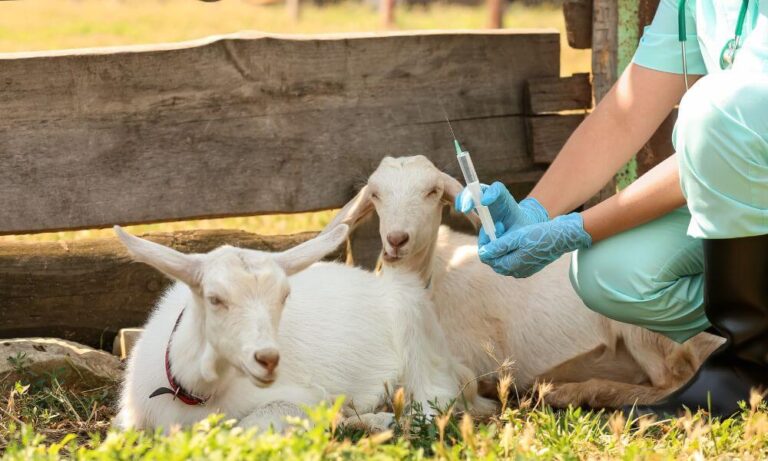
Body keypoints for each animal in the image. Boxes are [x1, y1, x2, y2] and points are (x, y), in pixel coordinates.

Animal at [113, 224, 495, 431]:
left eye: (284, 296)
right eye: (215, 298)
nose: (268, 359)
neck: (194, 392)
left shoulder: (303, 397)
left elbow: (256, 423)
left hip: (419, 341)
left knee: (433, 404)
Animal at [324, 155, 724, 409]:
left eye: (432, 192)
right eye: (376, 194)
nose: (396, 240)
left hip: (649, 331)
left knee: (676, 384)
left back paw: (576, 392)